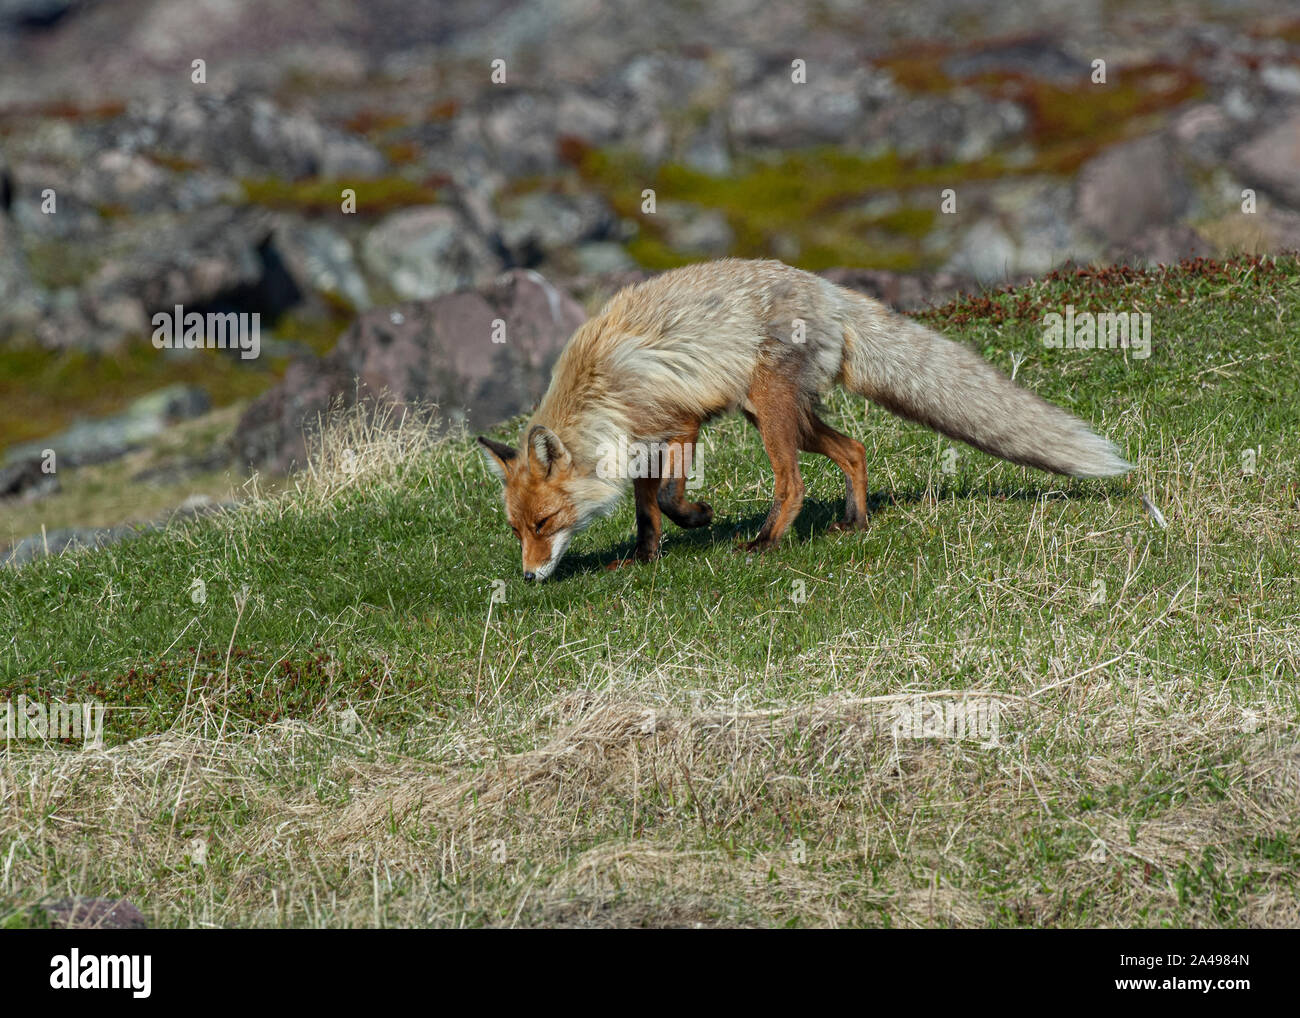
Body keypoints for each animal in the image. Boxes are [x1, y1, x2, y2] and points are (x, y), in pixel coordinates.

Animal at [477, 258, 1131, 581]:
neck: (601, 392)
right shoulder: (641, 446)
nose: (529, 577)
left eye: (544, 522)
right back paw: (855, 521)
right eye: (516, 530)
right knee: (856, 448)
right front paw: (643, 559)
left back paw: (766, 541)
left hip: (769, 412)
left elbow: (666, 498)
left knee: (791, 484)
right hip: (779, 415)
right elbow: (645, 512)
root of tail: (826, 287)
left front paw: (699, 517)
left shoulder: (679, 423)